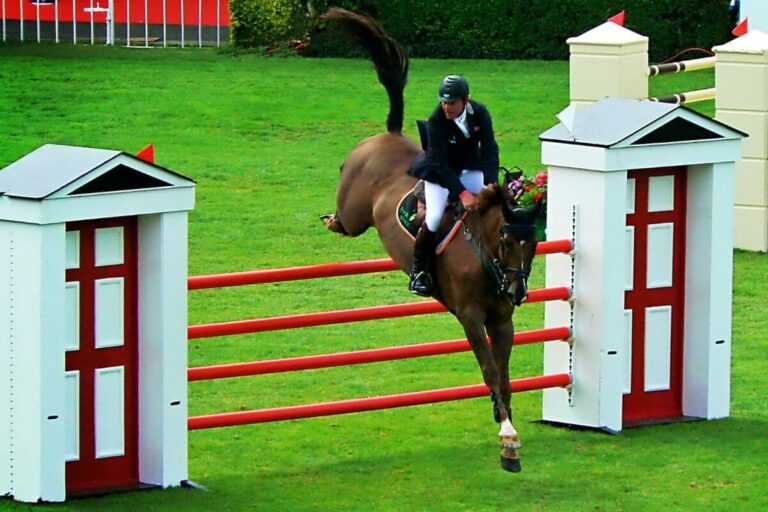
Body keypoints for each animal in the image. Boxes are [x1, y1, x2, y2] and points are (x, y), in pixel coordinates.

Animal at [319, 8, 541, 473]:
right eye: (507, 241)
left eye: (532, 245)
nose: (517, 291)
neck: (484, 258)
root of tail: (388, 135)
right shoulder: (471, 316)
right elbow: (489, 369)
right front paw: (507, 435)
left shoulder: (502, 319)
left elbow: (505, 374)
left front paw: (507, 431)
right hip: (355, 211)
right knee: (345, 222)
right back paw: (330, 220)